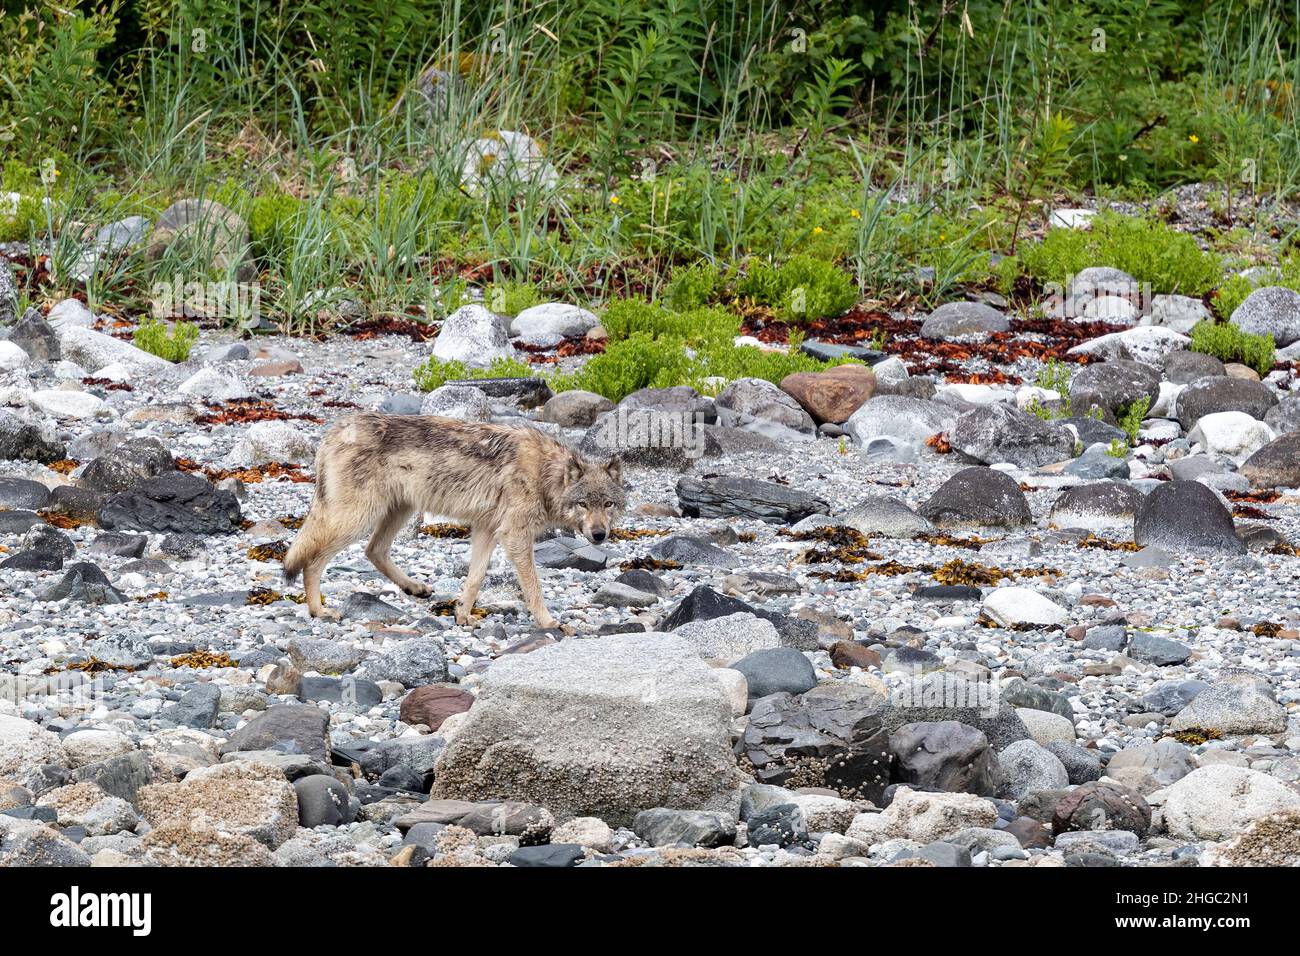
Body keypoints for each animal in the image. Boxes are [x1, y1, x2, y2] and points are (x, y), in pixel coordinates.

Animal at [283, 412, 624, 628]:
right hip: (356, 519)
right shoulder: (514, 536)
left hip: (397, 512)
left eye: (608, 504)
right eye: (583, 504)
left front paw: (462, 615)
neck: (544, 473)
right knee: (312, 561)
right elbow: (533, 587)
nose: (599, 535)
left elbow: (475, 578)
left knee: (374, 551)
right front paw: (549, 622)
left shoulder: (487, 529)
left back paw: (414, 587)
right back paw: (318, 610)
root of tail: (334, 430)